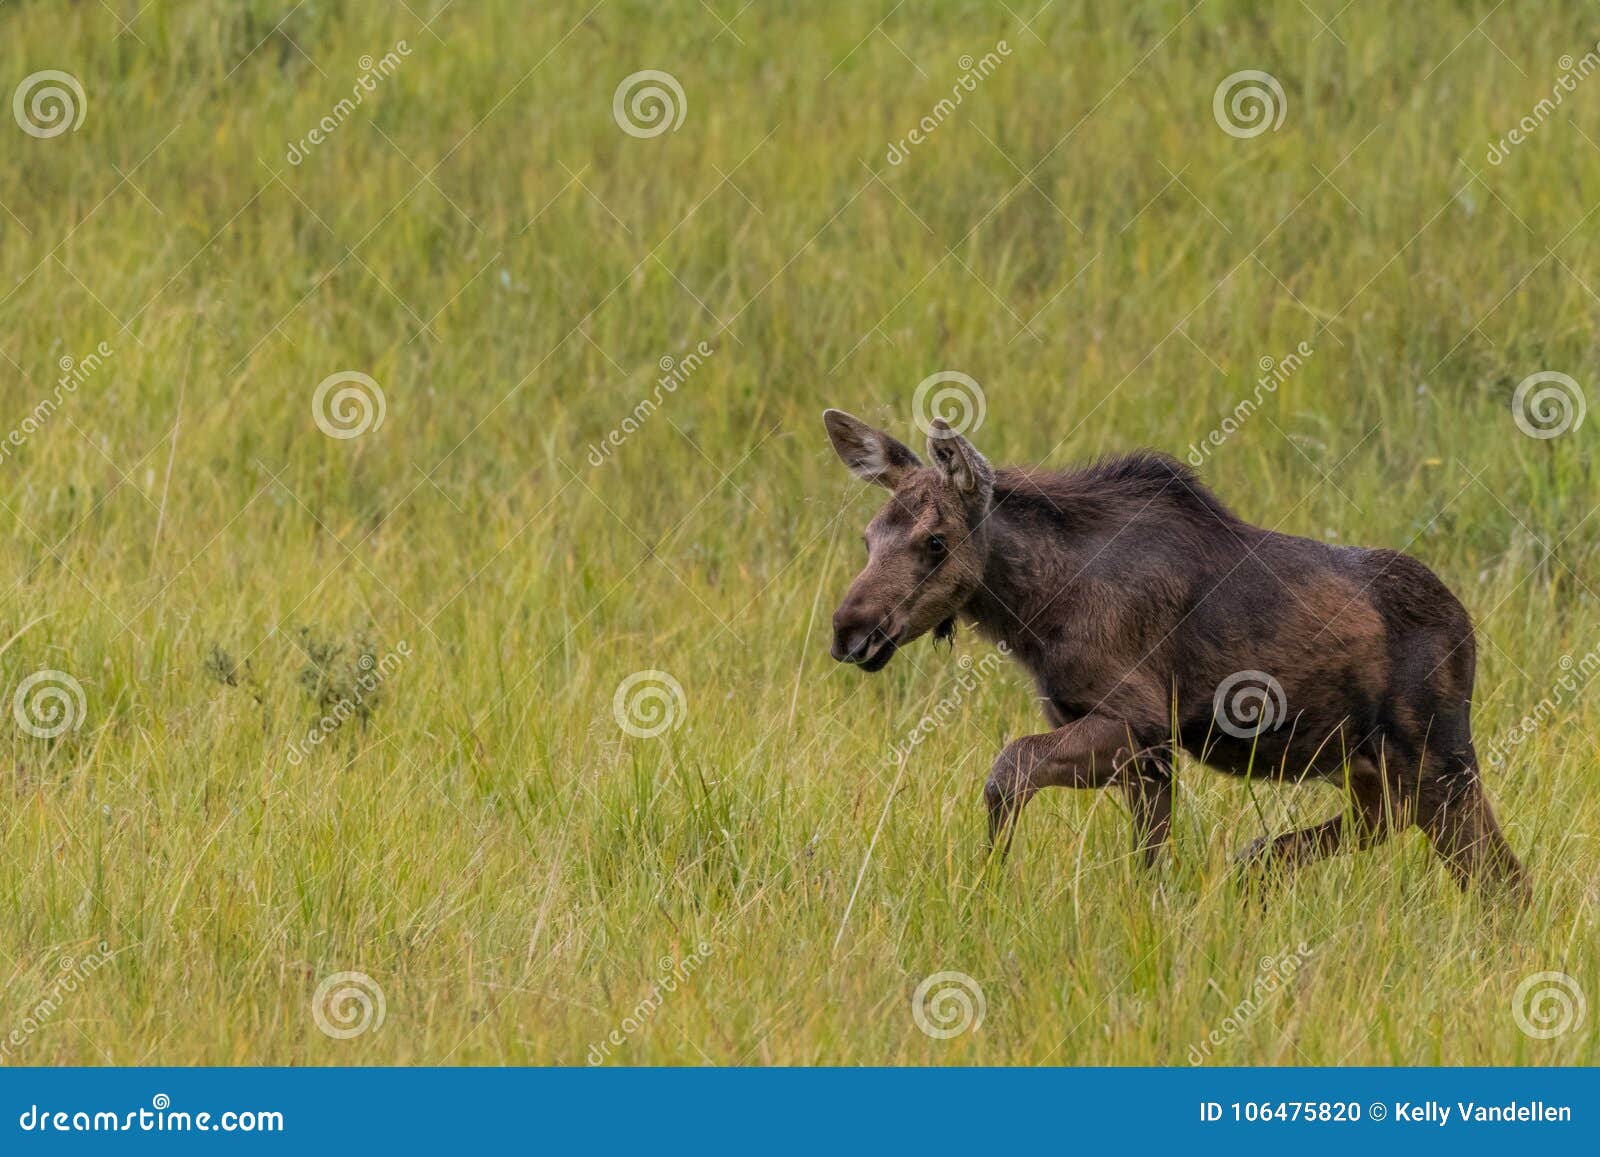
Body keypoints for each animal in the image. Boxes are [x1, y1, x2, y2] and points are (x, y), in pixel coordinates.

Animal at [822, 408, 1528, 900]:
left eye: (935, 541)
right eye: (867, 538)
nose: (849, 631)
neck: (1035, 612)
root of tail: (1469, 629)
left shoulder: (1141, 721)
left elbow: (1007, 769)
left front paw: (985, 890)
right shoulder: (1140, 751)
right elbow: (1147, 858)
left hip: (1435, 755)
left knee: (1501, 877)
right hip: (1373, 766)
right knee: (1404, 833)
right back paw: (1258, 866)